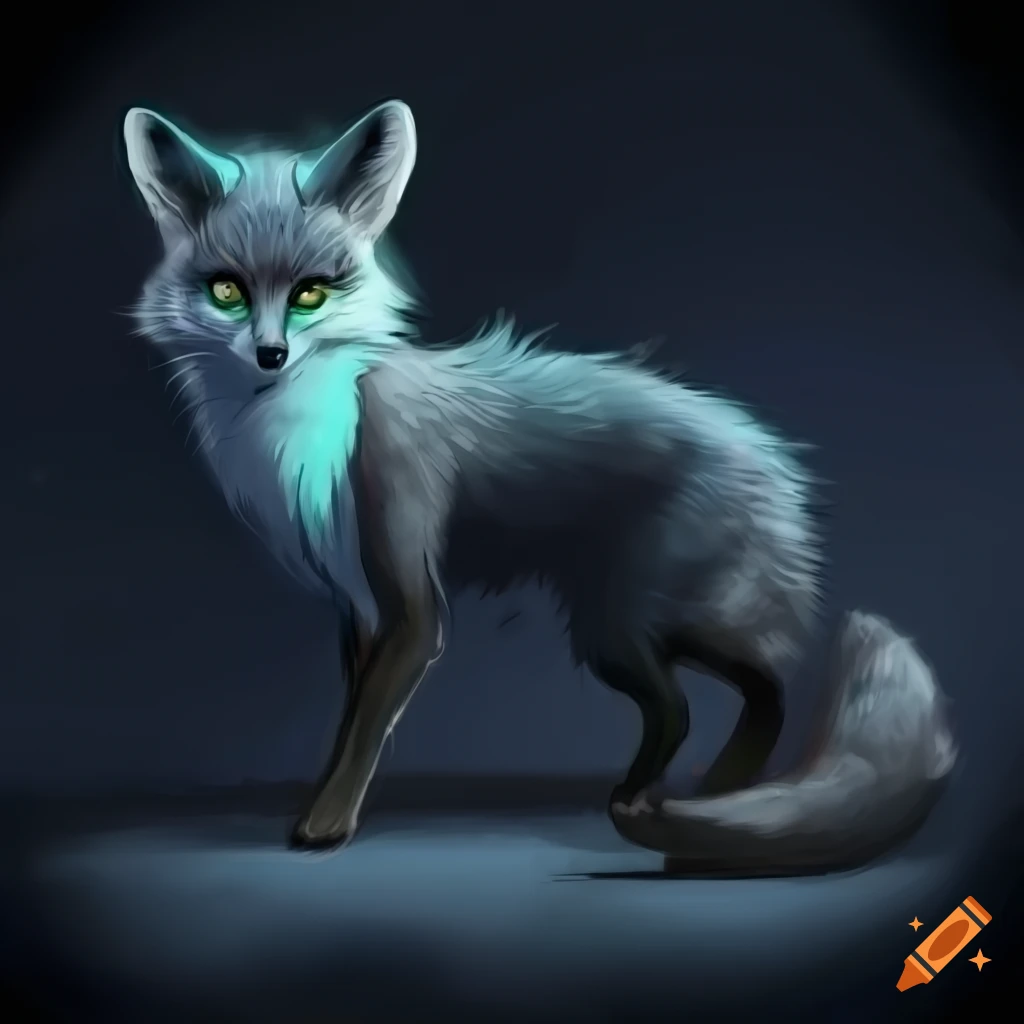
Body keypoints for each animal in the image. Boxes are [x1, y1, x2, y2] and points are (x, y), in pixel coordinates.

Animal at [122, 98, 956, 871]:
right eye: (227, 291)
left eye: (310, 293)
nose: (270, 355)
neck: (306, 431)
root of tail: (778, 463)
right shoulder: (356, 601)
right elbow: (348, 718)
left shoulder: (411, 595)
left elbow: (364, 729)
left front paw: (325, 825)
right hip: (638, 623)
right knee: (750, 693)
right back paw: (711, 803)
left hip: (621, 626)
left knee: (710, 703)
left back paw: (668, 807)